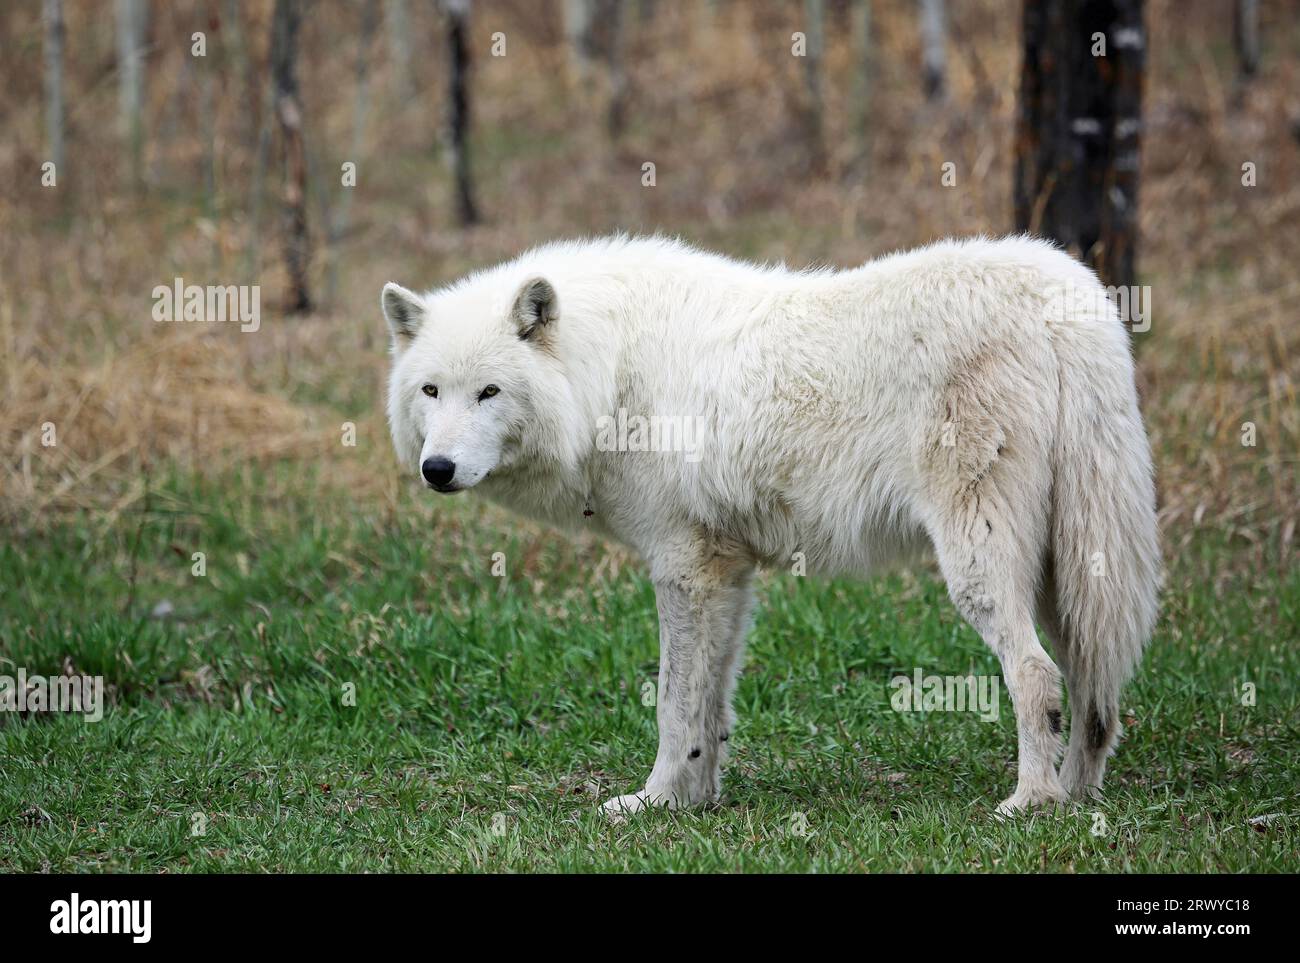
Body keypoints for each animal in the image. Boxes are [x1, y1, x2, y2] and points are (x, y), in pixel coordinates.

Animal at [381, 235, 1161, 816]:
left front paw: (650, 802)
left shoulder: (683, 565)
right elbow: (711, 707)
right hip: (1069, 570)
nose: (438, 468)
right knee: (1095, 682)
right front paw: (694, 801)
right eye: (432, 391)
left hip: (980, 564)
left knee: (1036, 673)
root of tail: (1066, 300)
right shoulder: (727, 571)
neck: (608, 373)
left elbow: (674, 704)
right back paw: (1078, 794)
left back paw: (1030, 803)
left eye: (489, 391)